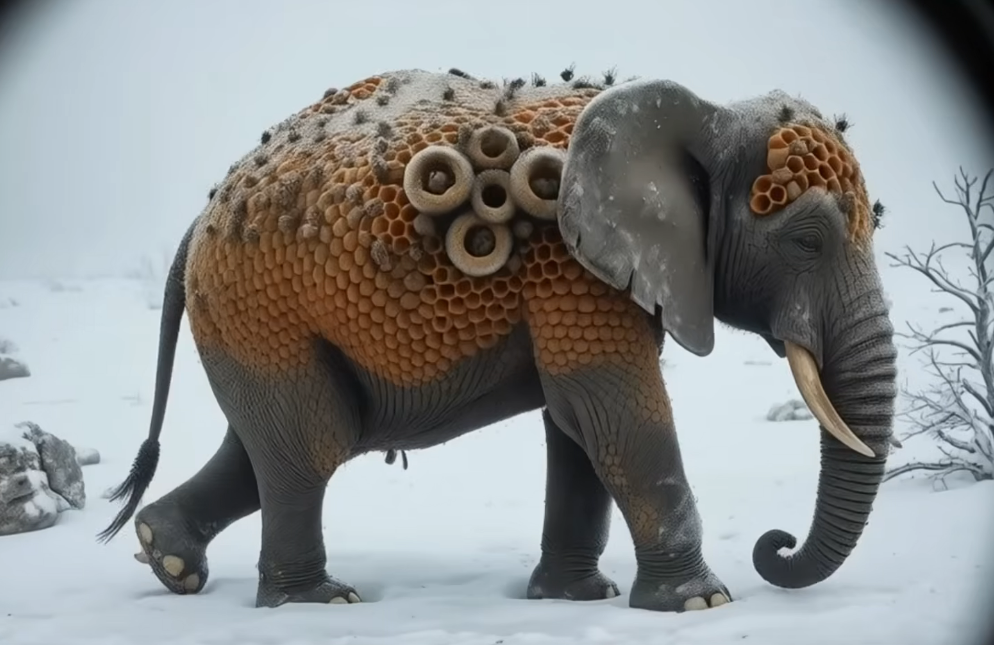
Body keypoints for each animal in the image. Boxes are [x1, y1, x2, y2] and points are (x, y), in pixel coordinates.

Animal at [98, 67, 897, 613]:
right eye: (806, 241)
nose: (776, 544)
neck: (705, 111)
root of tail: (199, 219)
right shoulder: (573, 268)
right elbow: (610, 406)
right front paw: (701, 604)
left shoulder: (582, 274)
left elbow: (576, 426)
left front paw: (577, 599)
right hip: (257, 308)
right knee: (312, 444)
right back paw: (316, 602)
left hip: (249, 320)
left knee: (270, 447)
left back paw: (167, 559)